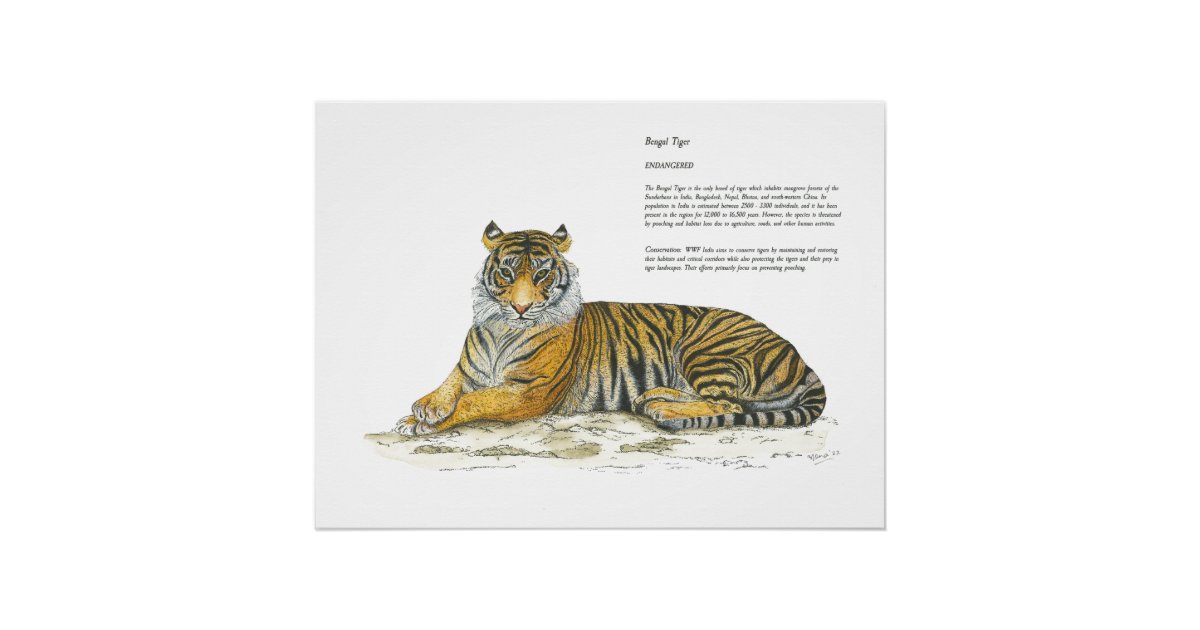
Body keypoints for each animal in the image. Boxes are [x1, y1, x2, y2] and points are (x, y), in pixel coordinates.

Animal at [395, 222, 826, 436]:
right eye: (506, 271)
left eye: (541, 273)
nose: (520, 307)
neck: (503, 329)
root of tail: (800, 357)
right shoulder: (468, 369)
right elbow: (452, 383)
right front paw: (422, 409)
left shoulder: (530, 390)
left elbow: (476, 401)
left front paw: (424, 422)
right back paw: (651, 397)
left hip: (705, 347)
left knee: (730, 404)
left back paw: (664, 409)